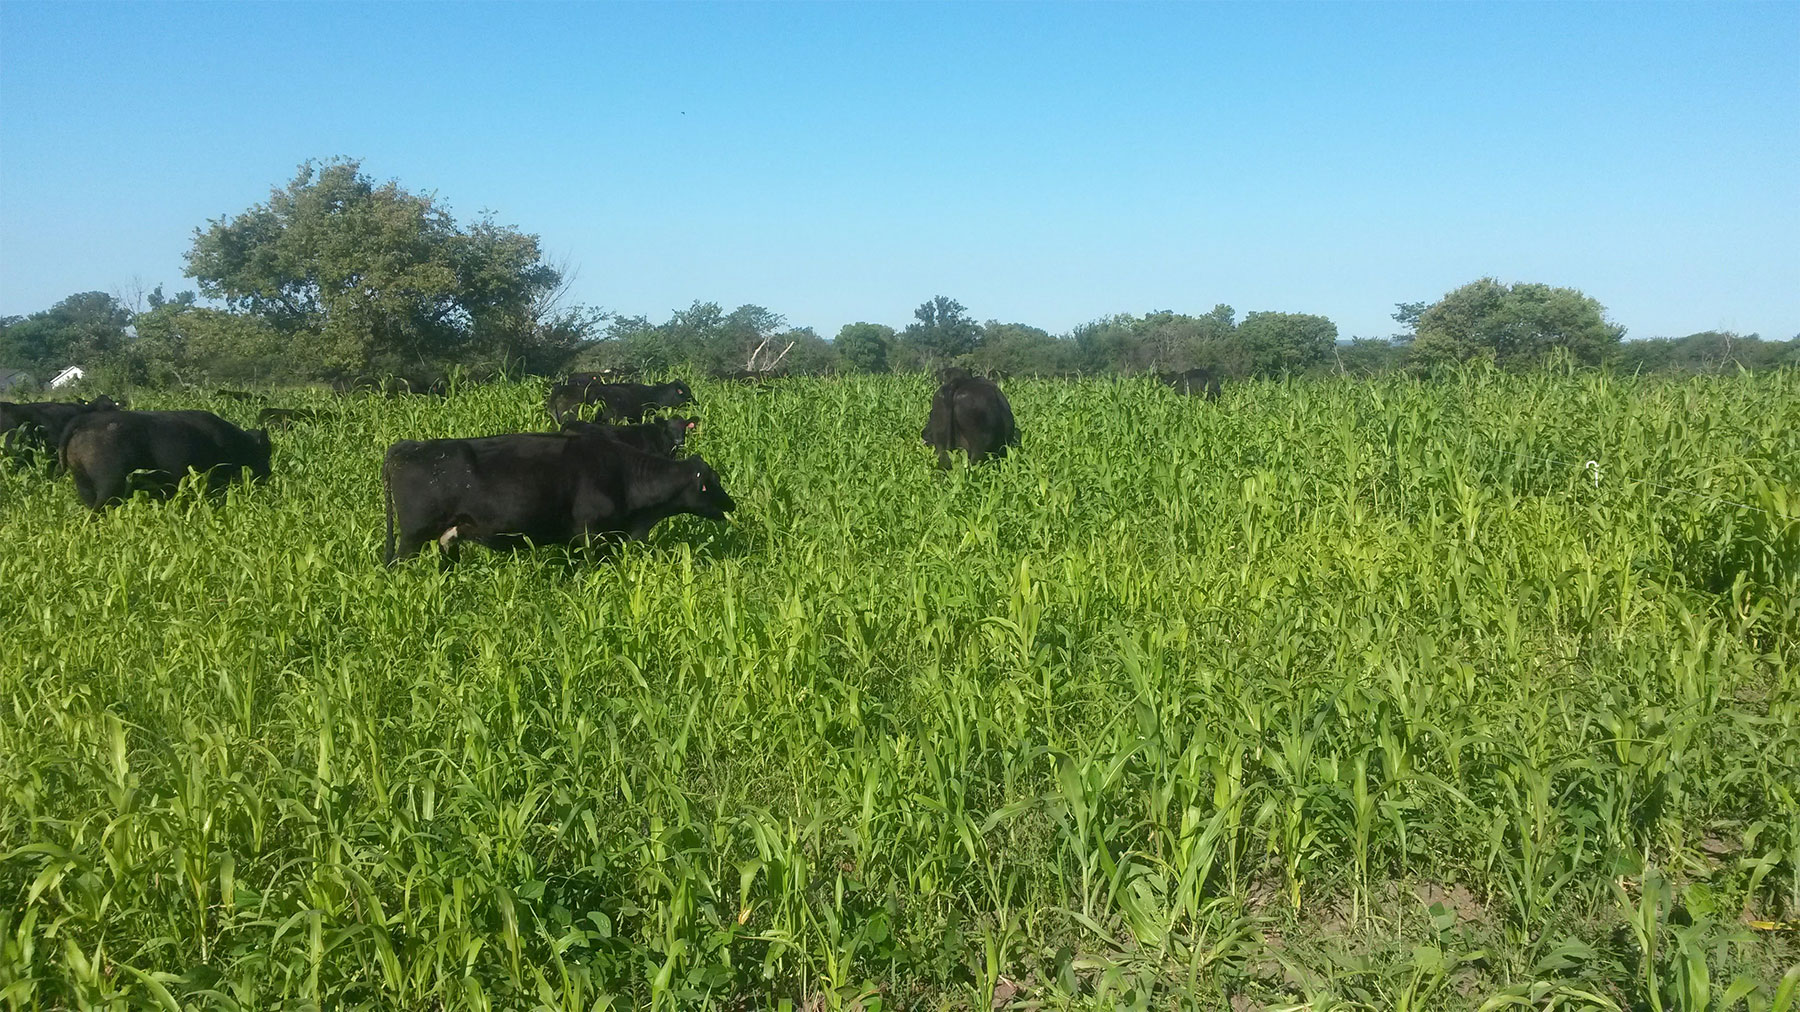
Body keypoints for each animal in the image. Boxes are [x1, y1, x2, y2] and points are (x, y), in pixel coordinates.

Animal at [381, 426, 735, 565]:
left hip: (446, 536)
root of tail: (409, 446)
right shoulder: (591, 536)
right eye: (712, 483)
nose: (732, 503)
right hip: (411, 537)